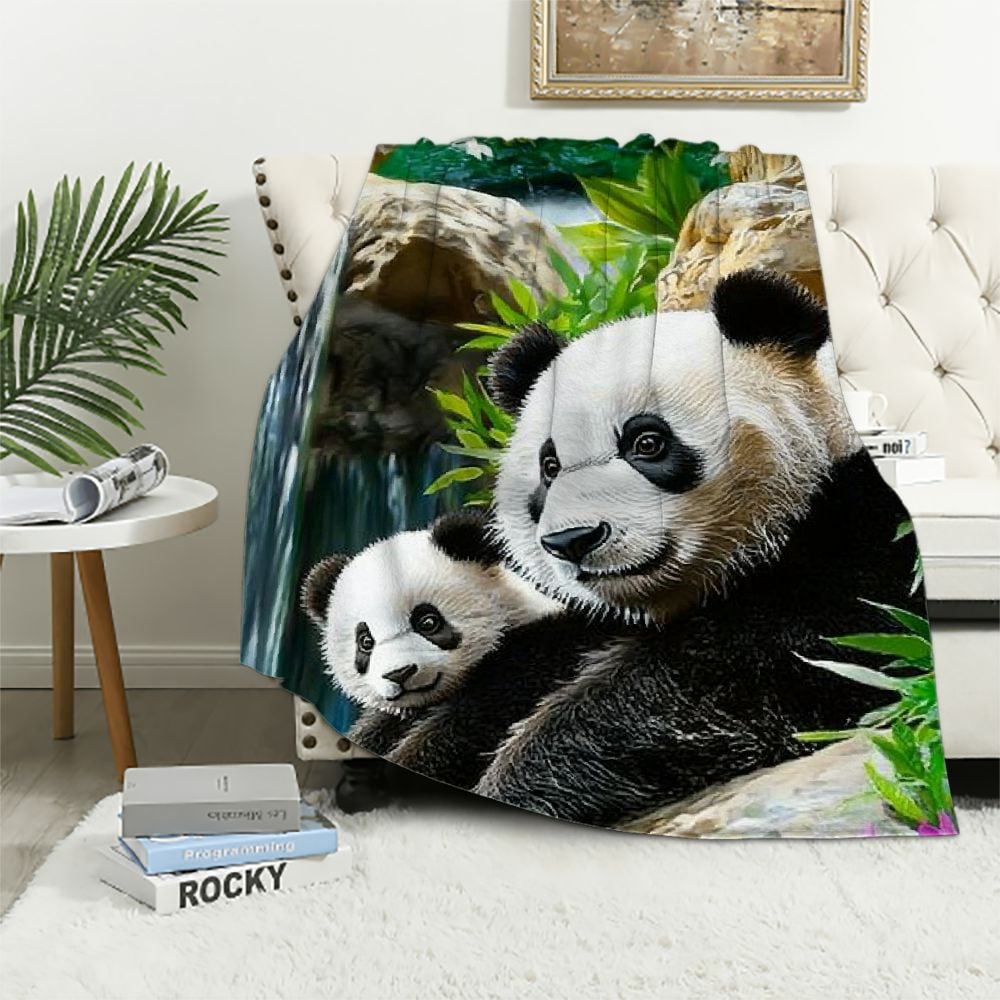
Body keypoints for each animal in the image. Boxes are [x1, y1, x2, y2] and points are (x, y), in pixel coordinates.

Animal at [473, 268, 923, 827]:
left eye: (647, 443)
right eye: (550, 466)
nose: (573, 540)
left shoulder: (863, 547)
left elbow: (726, 681)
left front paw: (518, 782)